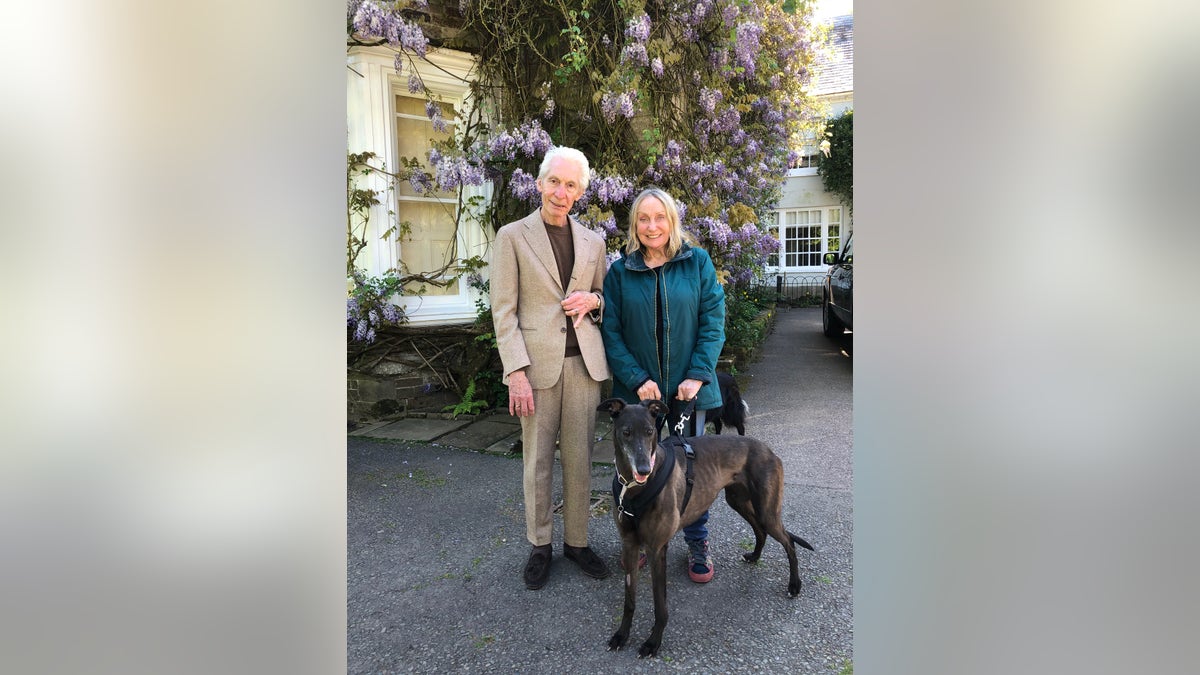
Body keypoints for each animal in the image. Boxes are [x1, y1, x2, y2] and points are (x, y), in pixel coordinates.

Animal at [600, 396, 816, 653]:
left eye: (650, 431)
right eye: (626, 432)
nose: (644, 469)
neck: (633, 488)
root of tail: (768, 450)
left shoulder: (657, 549)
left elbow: (660, 605)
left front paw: (653, 642)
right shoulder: (630, 545)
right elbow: (629, 600)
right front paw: (622, 635)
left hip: (767, 511)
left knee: (788, 542)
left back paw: (794, 585)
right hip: (738, 501)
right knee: (760, 531)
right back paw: (754, 557)